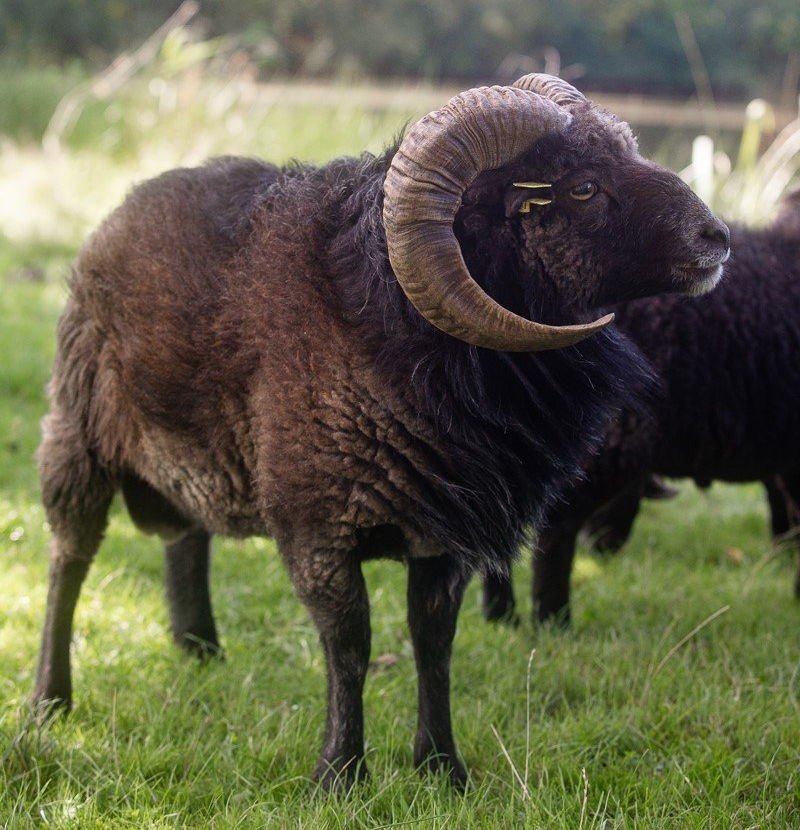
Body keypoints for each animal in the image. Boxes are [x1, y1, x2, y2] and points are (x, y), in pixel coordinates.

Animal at [32, 75, 730, 788]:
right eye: (582, 187)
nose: (718, 236)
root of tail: (122, 210)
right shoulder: (317, 524)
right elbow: (350, 645)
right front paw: (340, 772)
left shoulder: (448, 531)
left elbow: (434, 643)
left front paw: (442, 768)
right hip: (78, 439)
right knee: (69, 561)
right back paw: (50, 701)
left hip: (192, 453)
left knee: (186, 539)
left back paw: (200, 652)